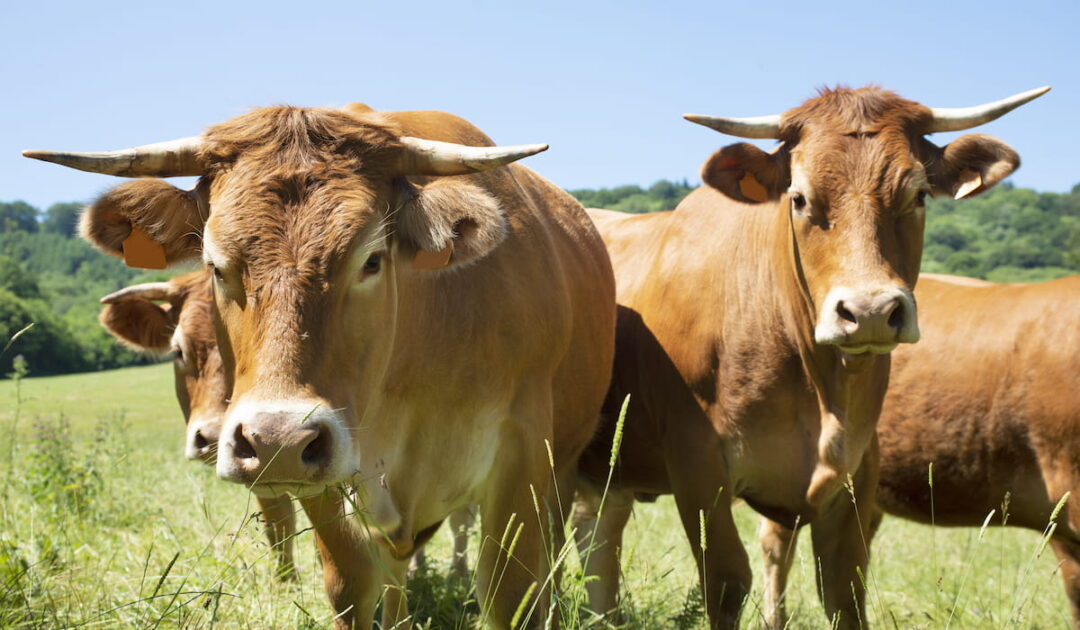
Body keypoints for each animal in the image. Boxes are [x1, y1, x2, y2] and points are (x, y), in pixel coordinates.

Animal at [571, 86, 1048, 629]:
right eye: (798, 198)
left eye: (920, 194)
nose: (869, 311)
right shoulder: (696, 463)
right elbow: (727, 582)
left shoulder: (856, 472)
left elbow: (844, 593)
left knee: (596, 538)